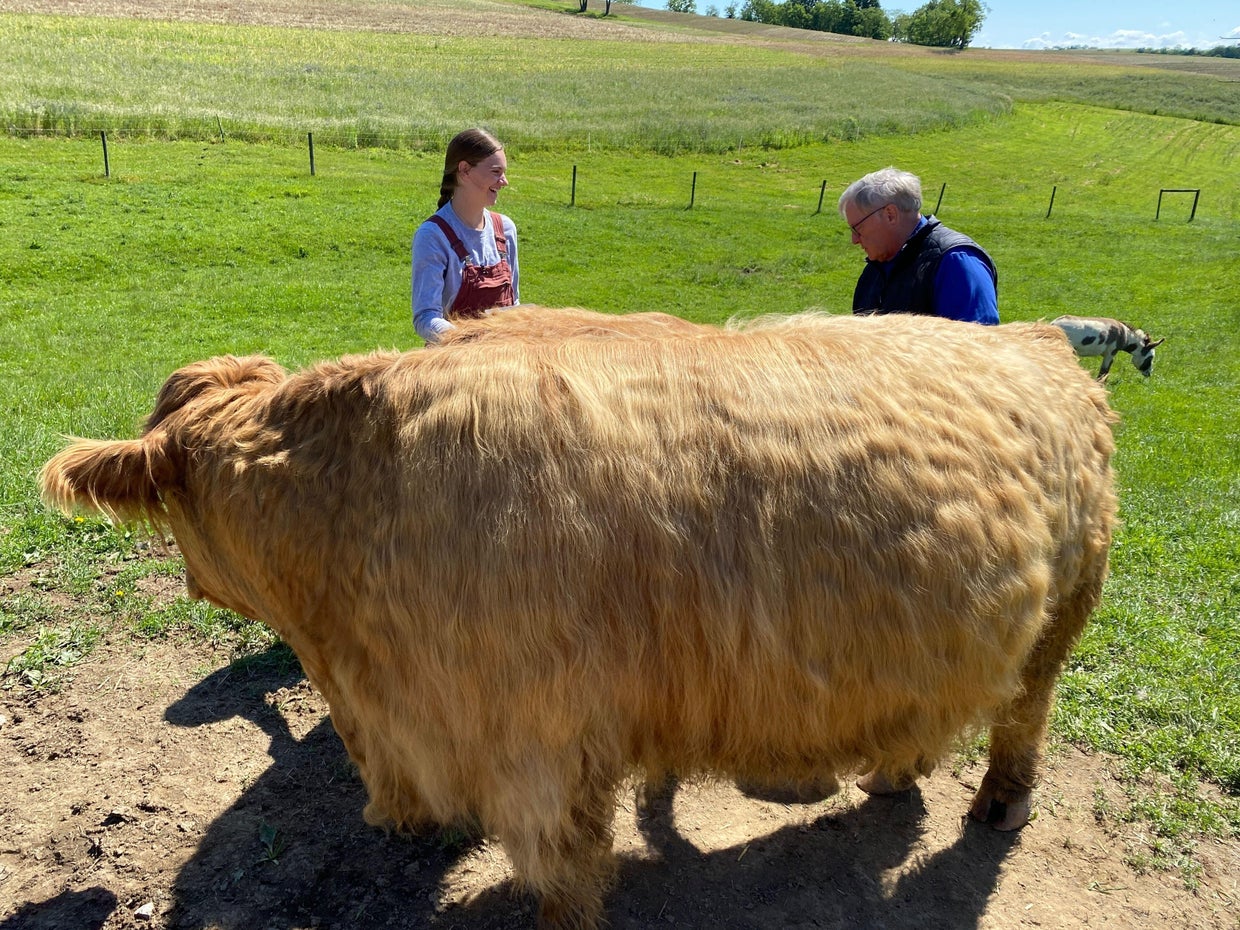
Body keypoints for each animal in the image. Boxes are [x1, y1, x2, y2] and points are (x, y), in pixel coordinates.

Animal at [41, 308, 1117, 929]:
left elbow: (562, 883)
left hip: (1068, 606)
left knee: (1025, 710)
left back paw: (998, 800)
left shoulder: (544, 751)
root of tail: (1030, 335)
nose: (194, 586)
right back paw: (893, 772)